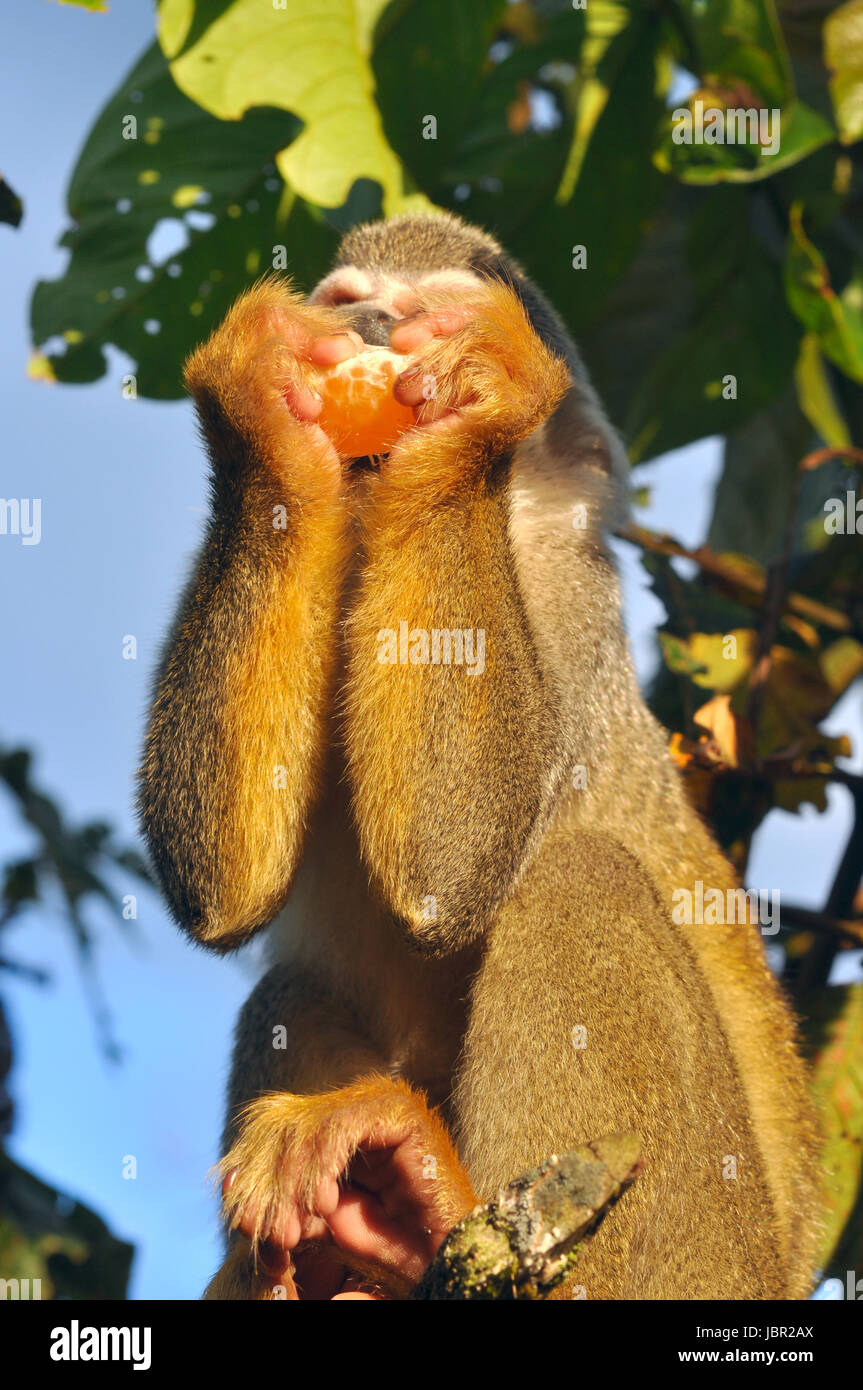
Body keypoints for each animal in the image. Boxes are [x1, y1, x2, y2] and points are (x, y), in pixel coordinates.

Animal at [138, 210, 821, 1300]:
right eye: (346, 303)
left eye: (428, 317)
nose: (372, 324)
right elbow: (224, 892)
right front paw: (258, 406)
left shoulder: (561, 589)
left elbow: (448, 872)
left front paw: (477, 416)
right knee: (288, 984)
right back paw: (378, 1229)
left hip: (697, 1260)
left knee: (577, 882)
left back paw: (434, 1204)